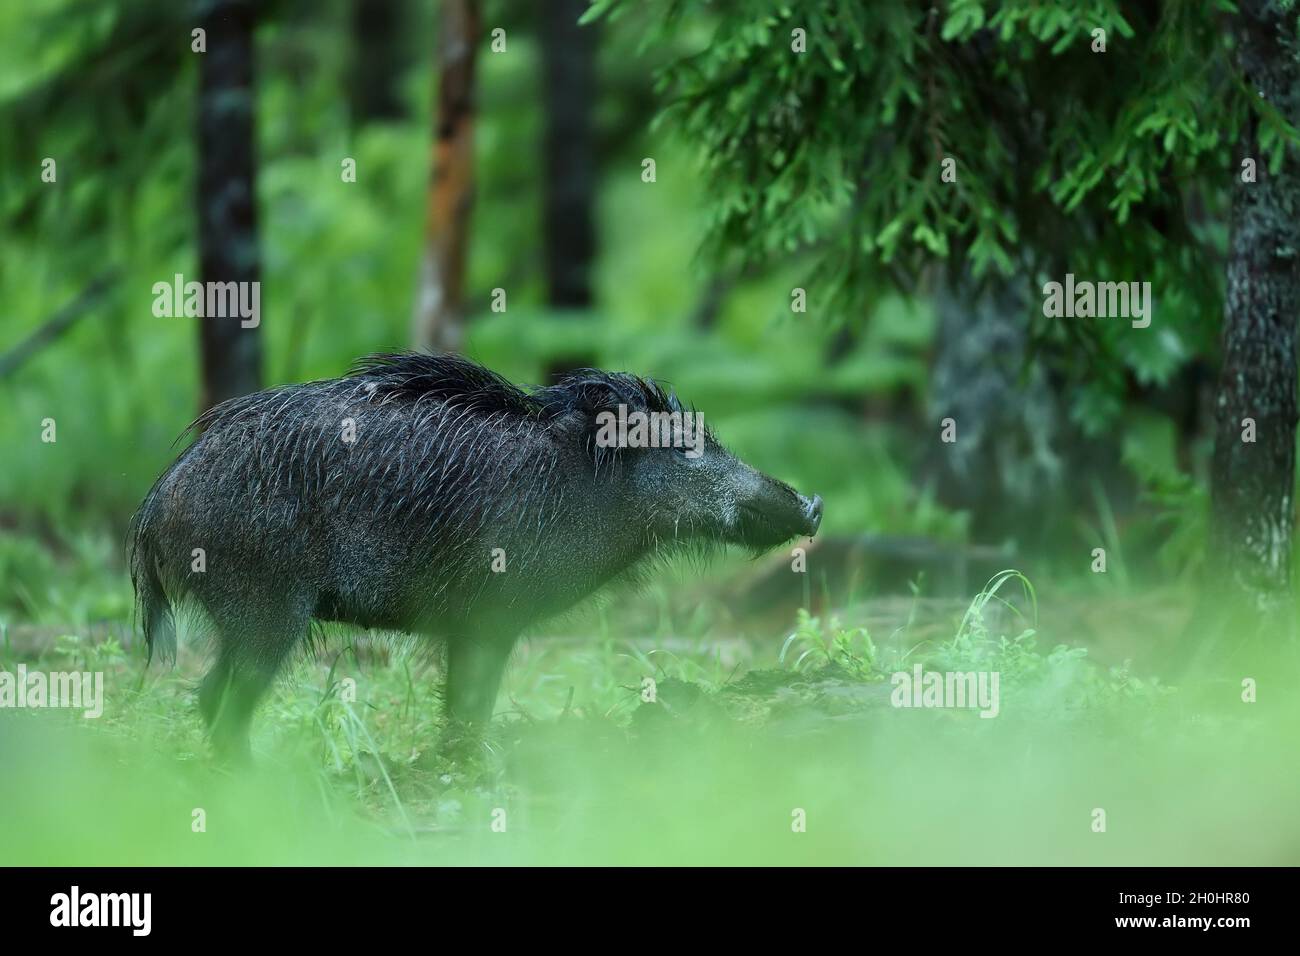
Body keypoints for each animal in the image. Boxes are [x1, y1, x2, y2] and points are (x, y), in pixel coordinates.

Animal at [129, 353, 822, 760]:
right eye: (684, 448)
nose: (812, 504)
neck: (585, 484)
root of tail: (157, 503)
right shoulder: (491, 616)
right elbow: (470, 704)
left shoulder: (475, 625)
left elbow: (465, 706)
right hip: (264, 606)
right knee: (217, 701)